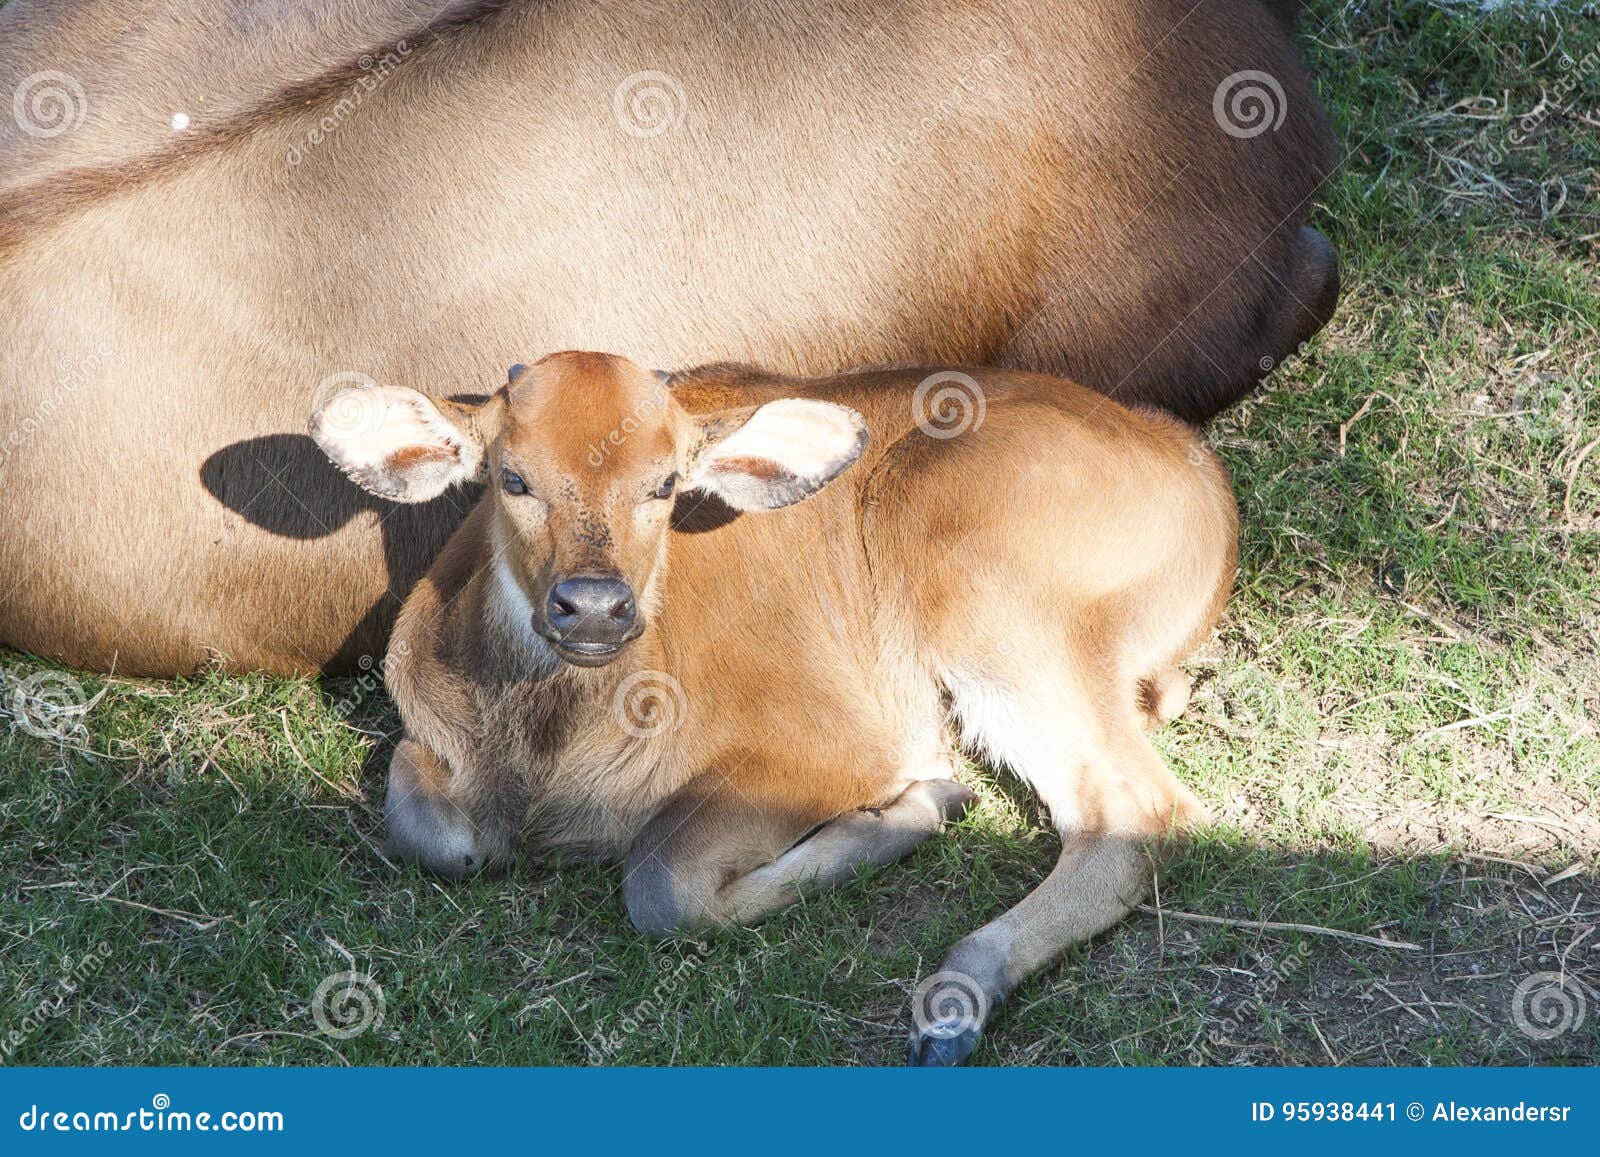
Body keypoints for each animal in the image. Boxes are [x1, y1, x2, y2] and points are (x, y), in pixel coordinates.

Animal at [308, 350, 1238, 1064]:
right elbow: (433, 827)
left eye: (665, 485)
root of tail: (1190, 462)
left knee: (1138, 813)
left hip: (990, 598)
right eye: (513, 476)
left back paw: (958, 992)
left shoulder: (840, 742)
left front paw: (916, 807)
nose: (594, 607)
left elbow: (661, 881)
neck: (550, 746)